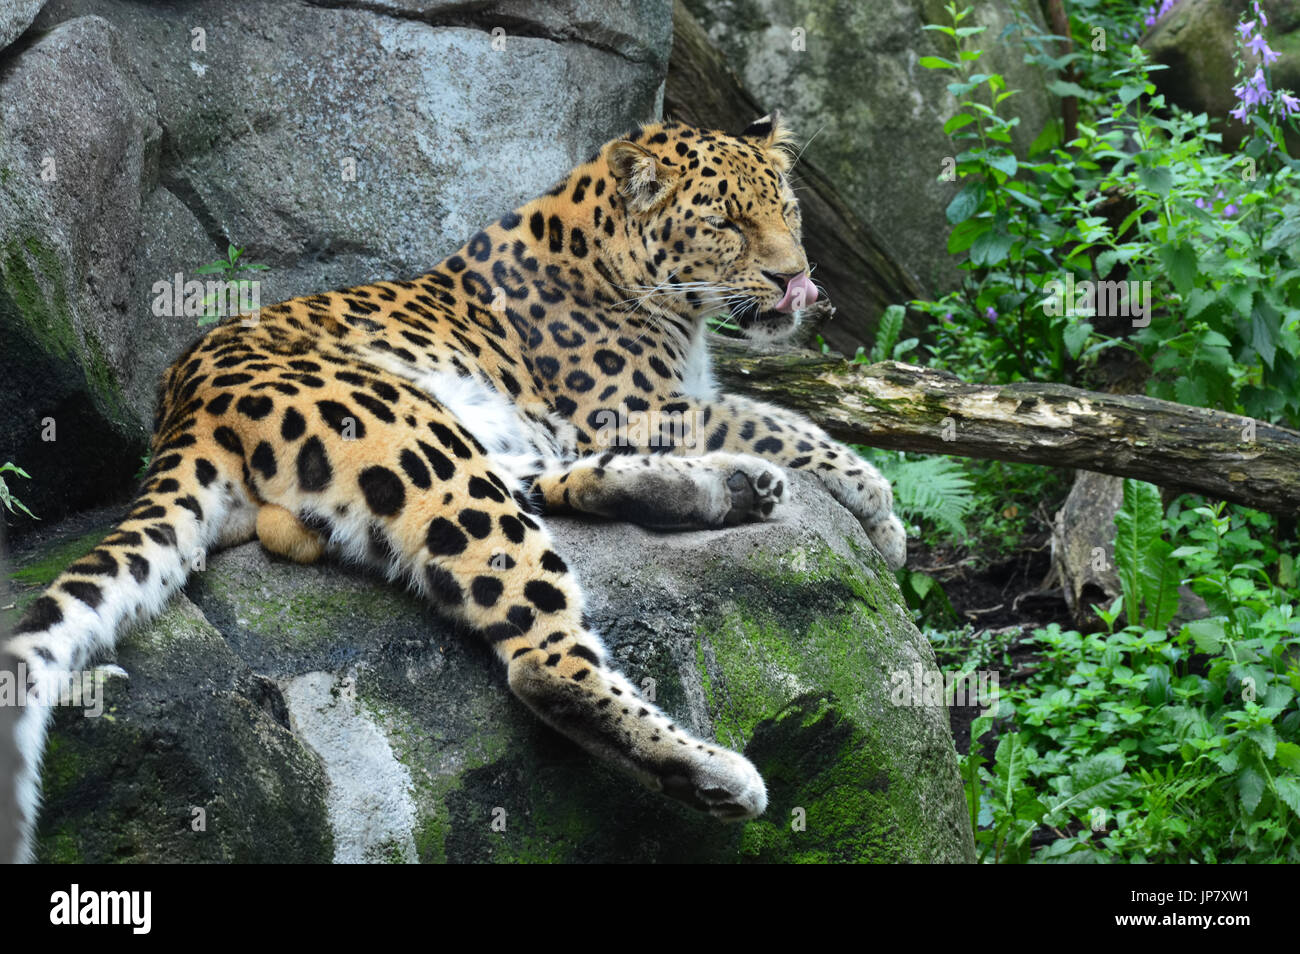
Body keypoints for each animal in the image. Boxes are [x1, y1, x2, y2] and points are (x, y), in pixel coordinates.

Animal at [1, 113, 907, 862]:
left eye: (786, 210)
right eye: (724, 223)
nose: (794, 279)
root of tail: (183, 407)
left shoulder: (649, 408)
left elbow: (771, 416)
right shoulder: (636, 406)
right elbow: (784, 422)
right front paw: (882, 510)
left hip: (465, 440)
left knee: (555, 489)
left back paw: (734, 491)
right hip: (425, 446)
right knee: (542, 658)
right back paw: (714, 771)